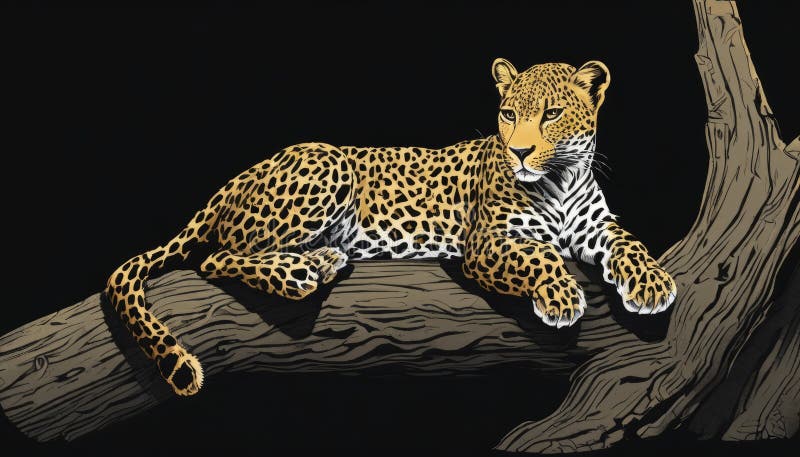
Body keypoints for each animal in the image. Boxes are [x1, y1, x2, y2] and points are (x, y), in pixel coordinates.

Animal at [106, 58, 677, 396]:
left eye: (553, 112)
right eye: (509, 113)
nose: (517, 151)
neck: (559, 180)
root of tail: (233, 180)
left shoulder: (595, 226)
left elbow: (628, 242)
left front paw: (652, 283)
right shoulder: (486, 242)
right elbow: (539, 254)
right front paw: (559, 296)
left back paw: (322, 259)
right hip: (328, 164)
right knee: (214, 257)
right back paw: (298, 272)